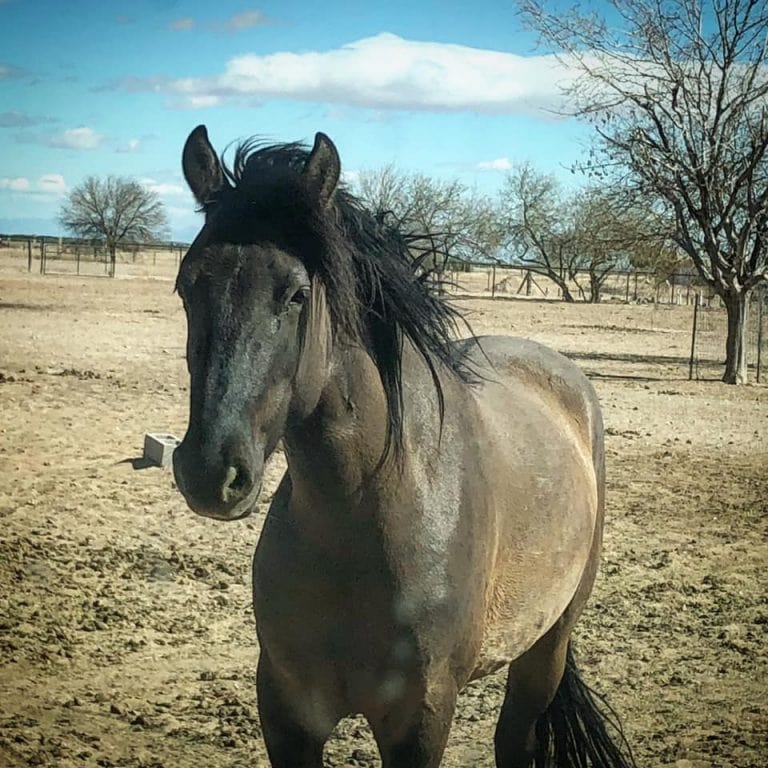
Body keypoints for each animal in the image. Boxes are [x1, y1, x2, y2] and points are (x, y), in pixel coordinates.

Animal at [172, 124, 634, 768]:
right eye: (187, 285)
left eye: (295, 295)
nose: (210, 471)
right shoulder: (287, 711)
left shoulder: (420, 716)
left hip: (547, 647)